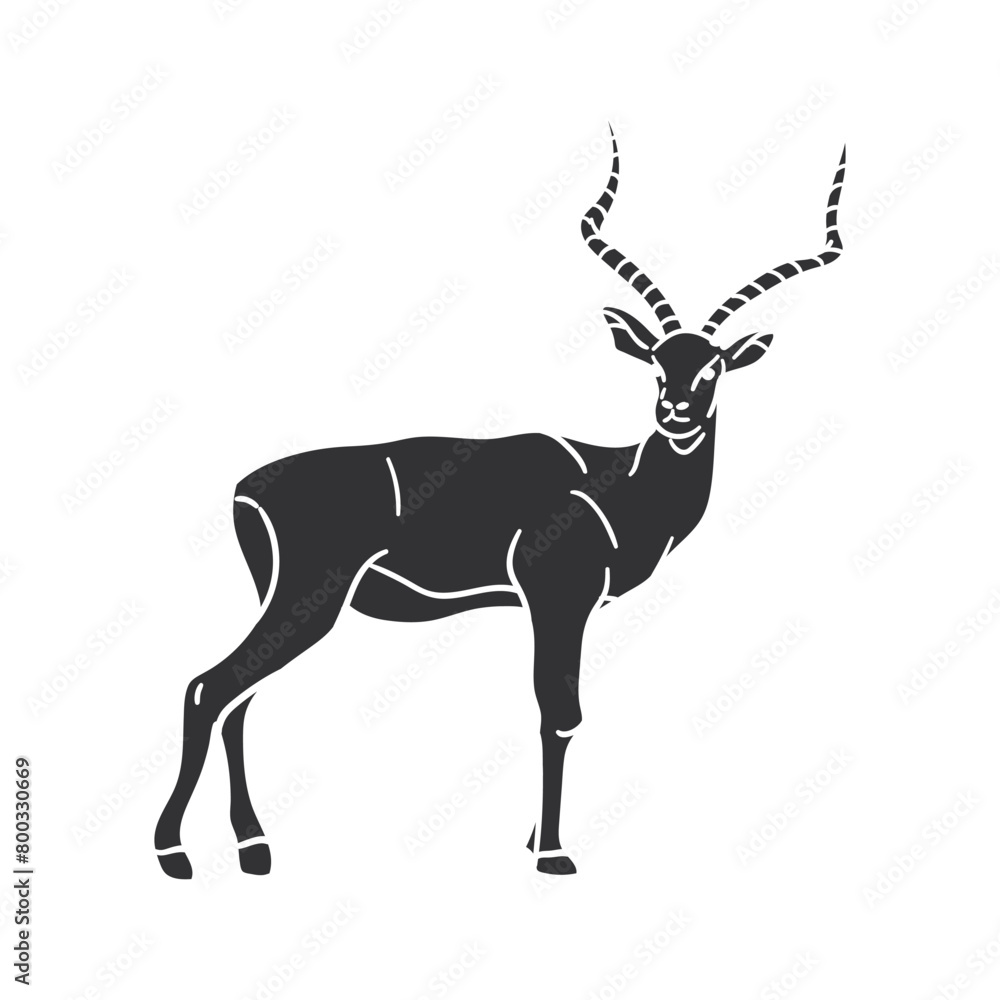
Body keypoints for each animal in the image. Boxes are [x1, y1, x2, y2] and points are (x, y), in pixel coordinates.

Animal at [156, 132, 846, 878]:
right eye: (659, 363)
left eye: (712, 366)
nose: (678, 414)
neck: (618, 480)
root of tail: (246, 487)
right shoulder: (557, 595)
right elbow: (560, 712)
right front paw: (553, 853)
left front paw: (533, 840)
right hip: (308, 600)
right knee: (210, 688)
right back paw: (174, 852)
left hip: (282, 603)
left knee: (240, 699)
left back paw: (254, 850)